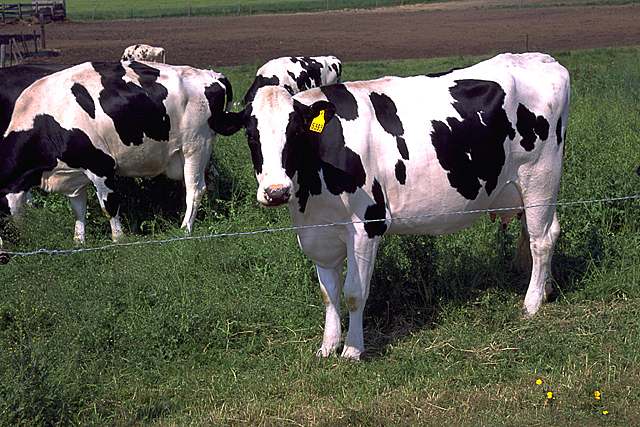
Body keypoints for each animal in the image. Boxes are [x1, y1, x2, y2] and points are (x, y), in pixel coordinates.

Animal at [0, 61, 242, 243]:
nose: (5, 254)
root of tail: (211, 74)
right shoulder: (73, 175)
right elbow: (78, 209)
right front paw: (79, 242)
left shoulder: (101, 166)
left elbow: (109, 206)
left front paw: (118, 239)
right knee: (211, 181)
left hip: (195, 146)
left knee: (195, 189)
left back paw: (185, 229)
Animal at [240, 53, 570, 360]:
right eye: (251, 135)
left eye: (295, 132)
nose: (276, 191)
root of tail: (543, 59)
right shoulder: (317, 231)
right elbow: (329, 294)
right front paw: (328, 346)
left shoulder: (367, 225)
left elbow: (354, 293)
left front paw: (352, 350)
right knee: (544, 233)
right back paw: (545, 290)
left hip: (540, 177)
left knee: (540, 240)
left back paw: (530, 304)